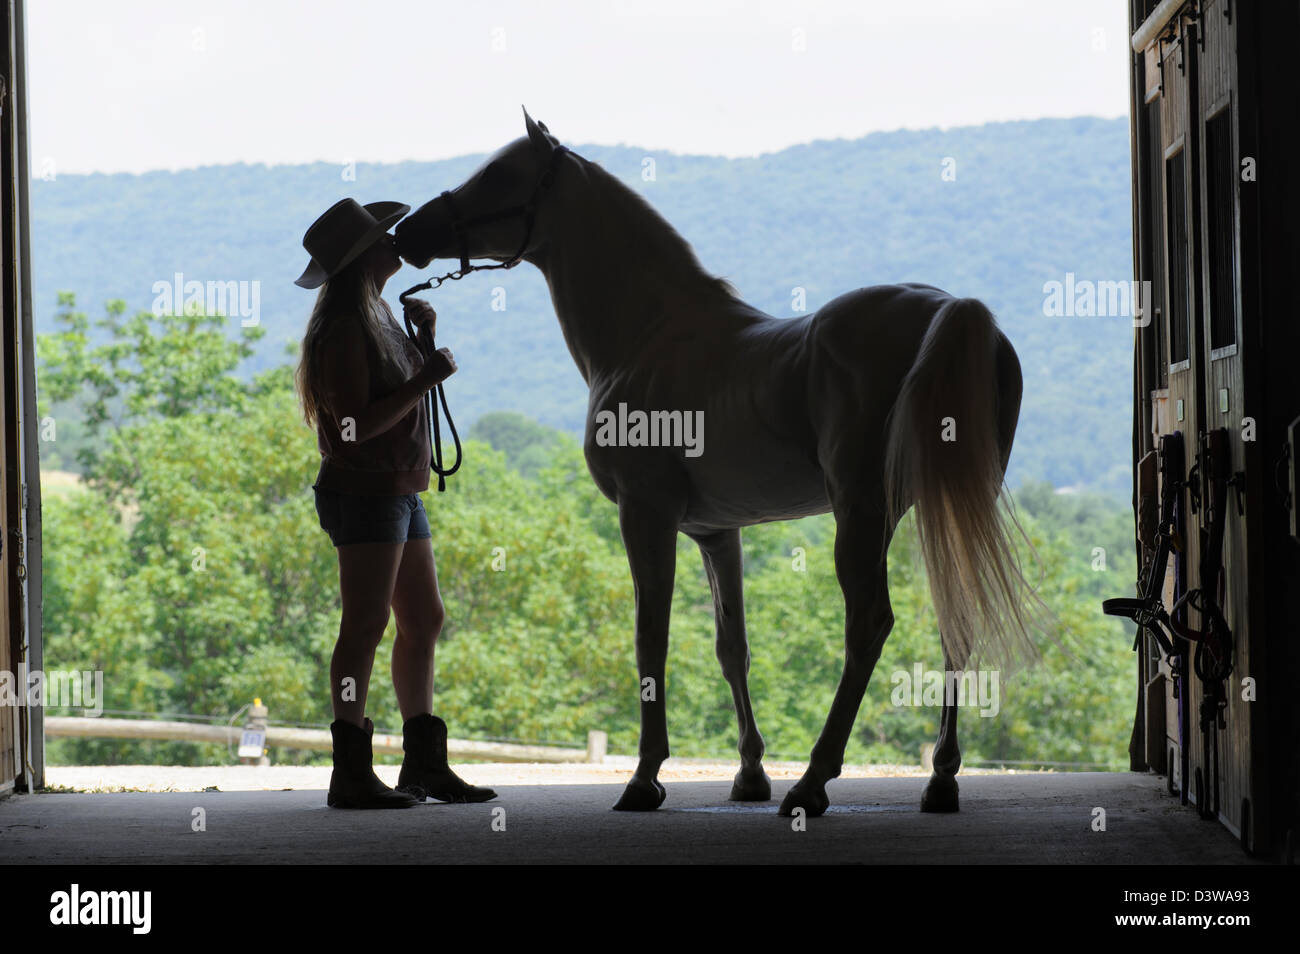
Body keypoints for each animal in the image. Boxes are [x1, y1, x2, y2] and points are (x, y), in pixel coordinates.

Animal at [393, 108, 1049, 817]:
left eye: (498, 173)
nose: (407, 232)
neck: (648, 336)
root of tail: (947, 310)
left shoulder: (646, 515)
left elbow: (650, 638)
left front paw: (645, 777)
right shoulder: (716, 529)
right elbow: (731, 646)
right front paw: (749, 774)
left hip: (862, 511)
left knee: (868, 625)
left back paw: (814, 781)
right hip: (938, 507)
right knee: (953, 621)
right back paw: (939, 780)